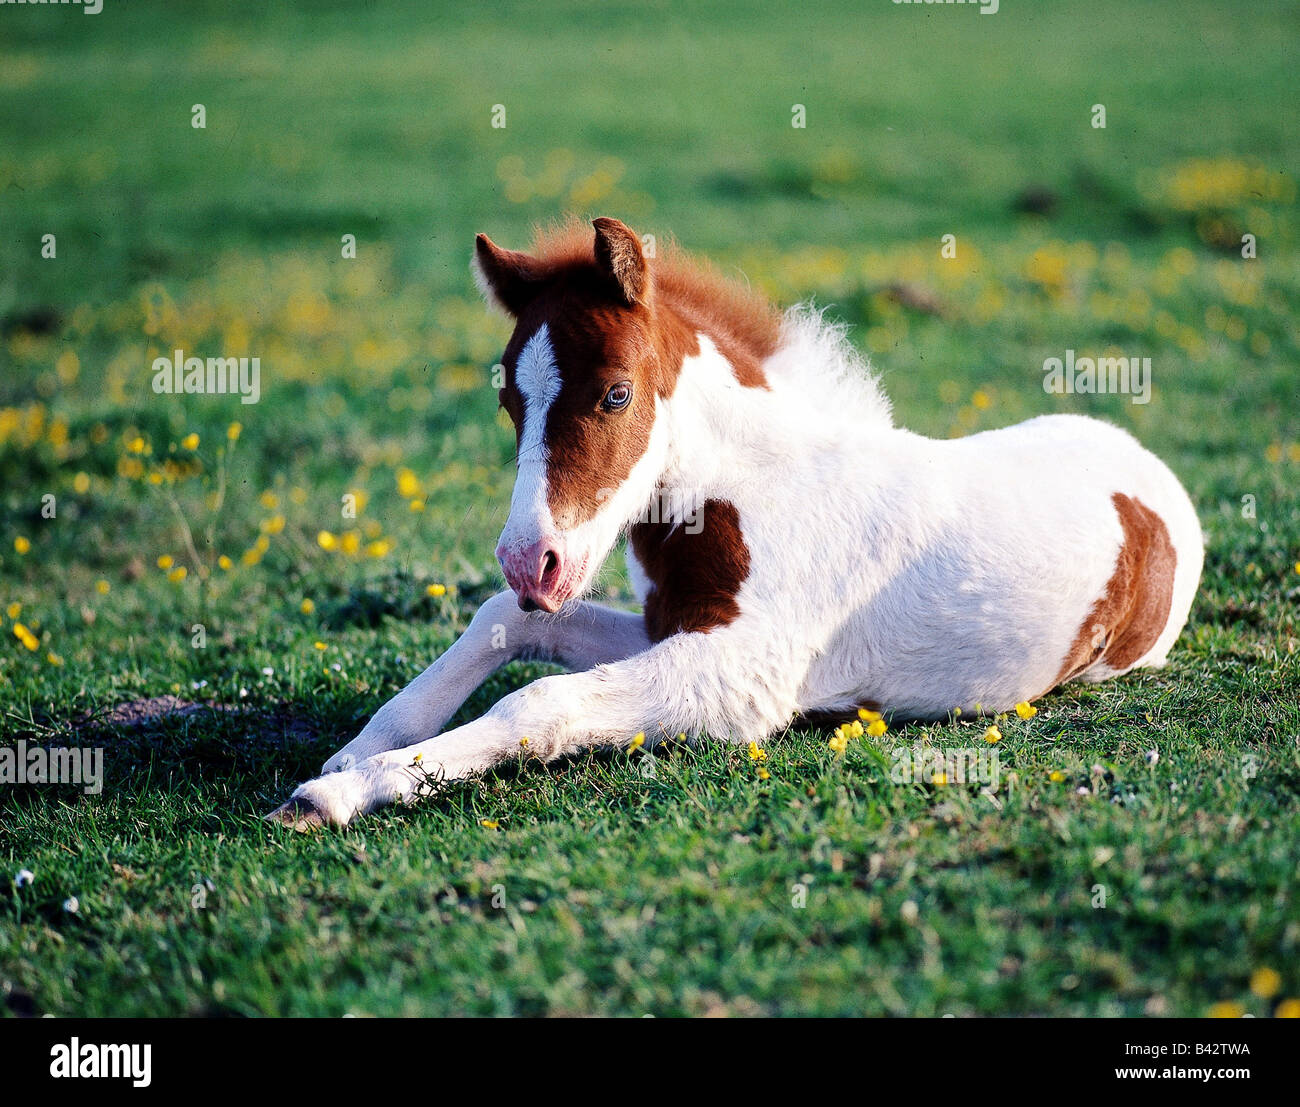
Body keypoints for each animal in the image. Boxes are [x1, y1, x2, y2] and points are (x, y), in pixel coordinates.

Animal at [269, 216, 1203, 829]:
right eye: (508, 400)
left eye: (616, 393)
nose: (531, 559)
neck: (756, 492)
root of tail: (1153, 475)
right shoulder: (671, 626)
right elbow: (510, 624)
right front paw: (359, 751)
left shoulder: (740, 677)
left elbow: (537, 702)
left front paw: (339, 793)